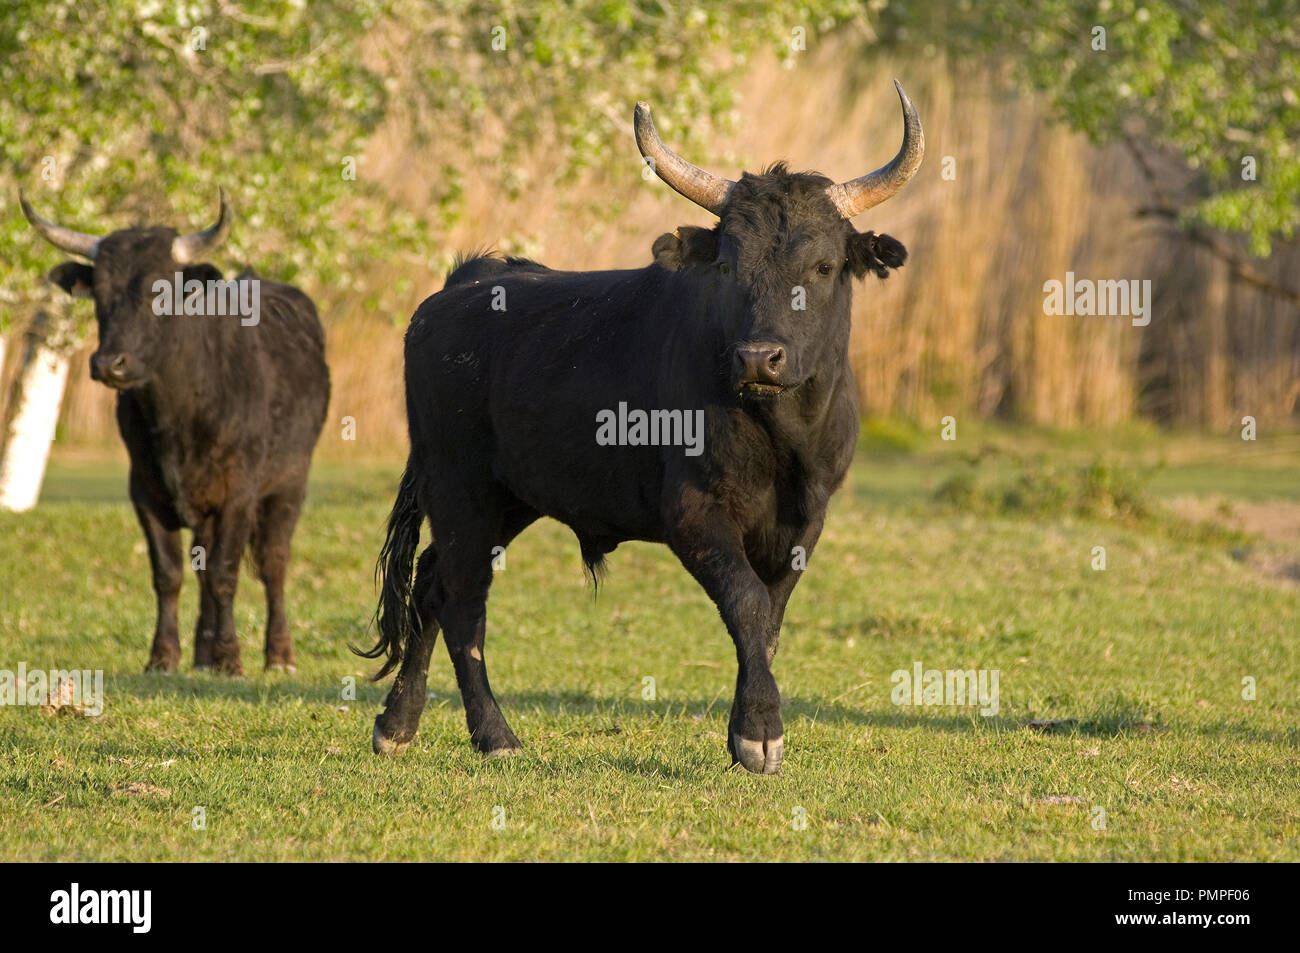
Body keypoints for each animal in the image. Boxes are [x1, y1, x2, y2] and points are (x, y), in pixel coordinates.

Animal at [21, 190, 330, 675]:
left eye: (158, 293)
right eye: (100, 294)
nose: (110, 364)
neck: (178, 420)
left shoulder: (238, 494)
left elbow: (224, 574)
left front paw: (231, 657)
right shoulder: (146, 491)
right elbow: (168, 574)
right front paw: (164, 656)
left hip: (288, 485)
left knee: (273, 563)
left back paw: (278, 655)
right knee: (202, 563)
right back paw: (203, 656)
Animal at [361, 81, 923, 773]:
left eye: (822, 266)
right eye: (728, 265)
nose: (759, 357)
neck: (779, 436)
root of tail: (464, 283)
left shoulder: (805, 520)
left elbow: (768, 619)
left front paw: (748, 728)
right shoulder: (694, 512)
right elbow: (746, 602)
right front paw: (760, 735)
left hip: (504, 499)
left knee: (432, 580)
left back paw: (397, 724)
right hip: (459, 488)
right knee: (463, 599)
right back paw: (496, 737)